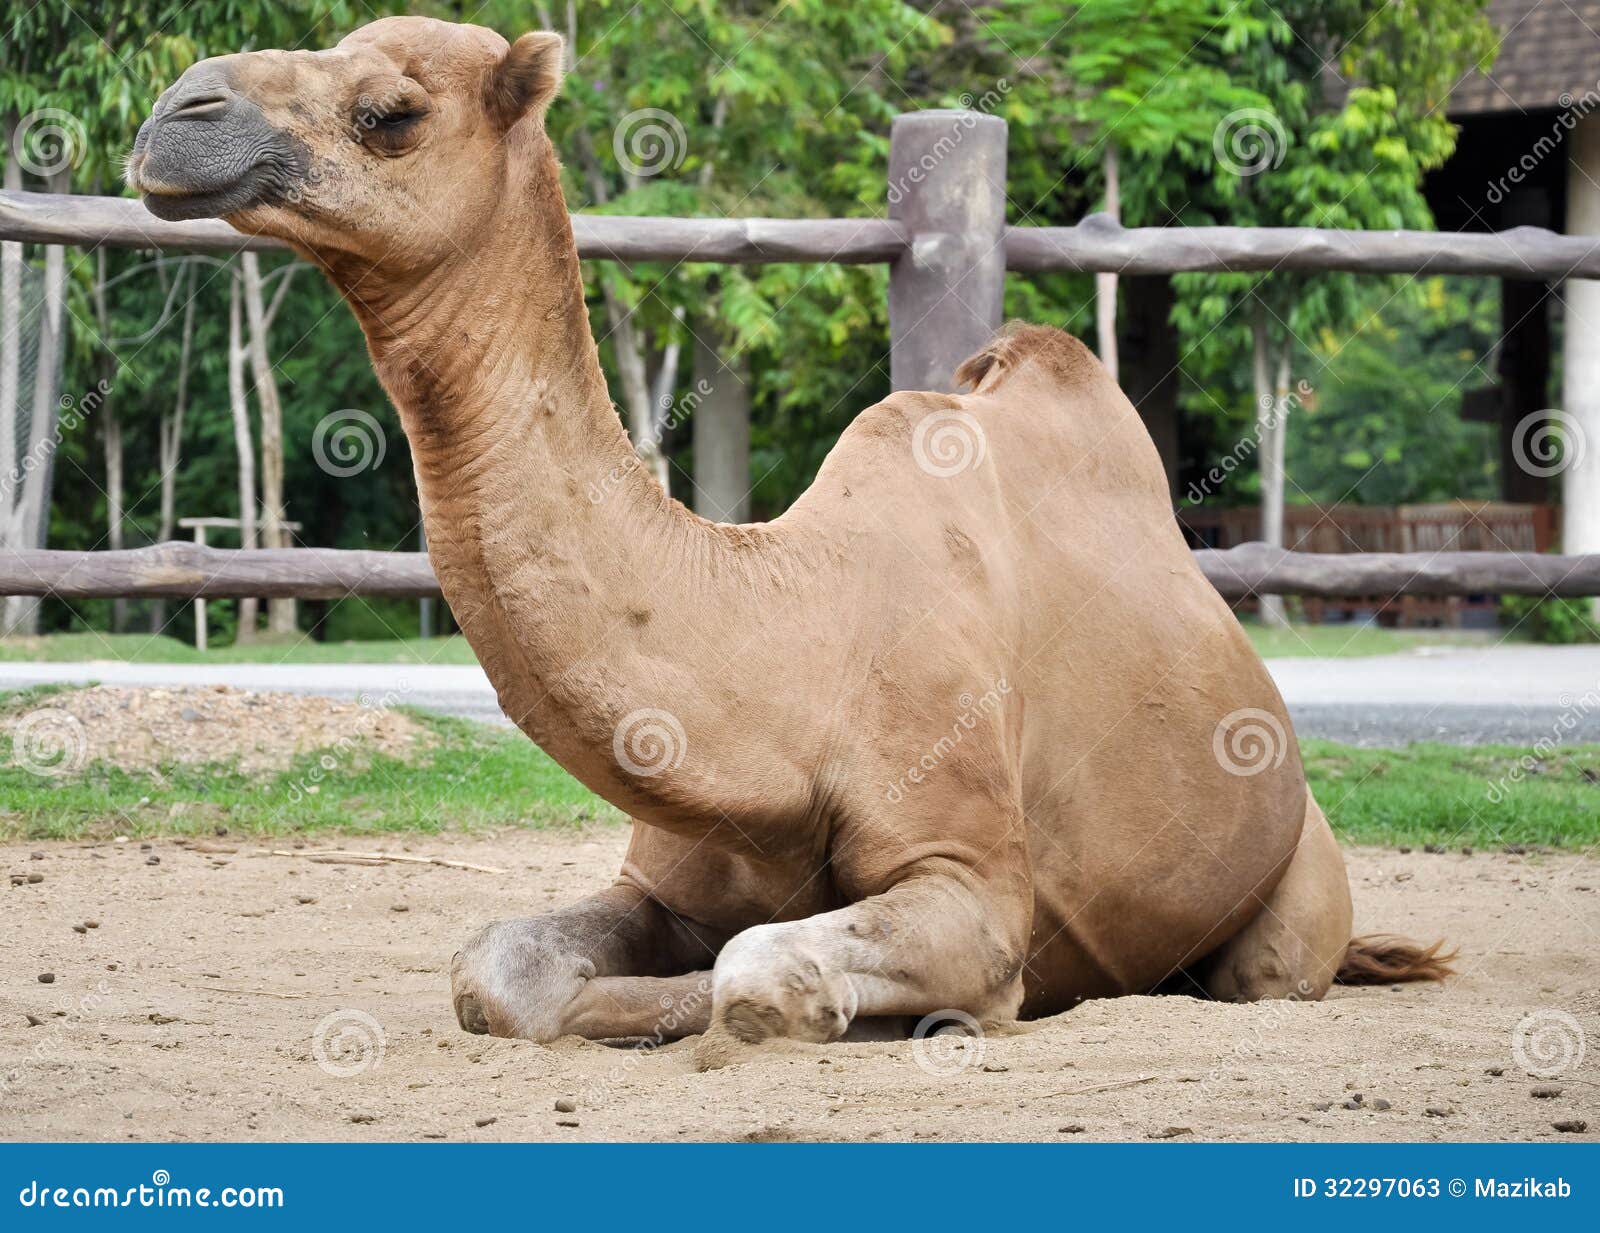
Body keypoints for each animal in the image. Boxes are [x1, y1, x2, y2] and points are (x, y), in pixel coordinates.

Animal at [128, 16, 1450, 1063]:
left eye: (390, 111)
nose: (174, 112)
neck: (798, 654)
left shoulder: (974, 876)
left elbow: (762, 973)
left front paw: (893, 1015)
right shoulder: (666, 874)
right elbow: (497, 970)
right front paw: (628, 1008)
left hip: (1293, 894)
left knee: (1260, 968)